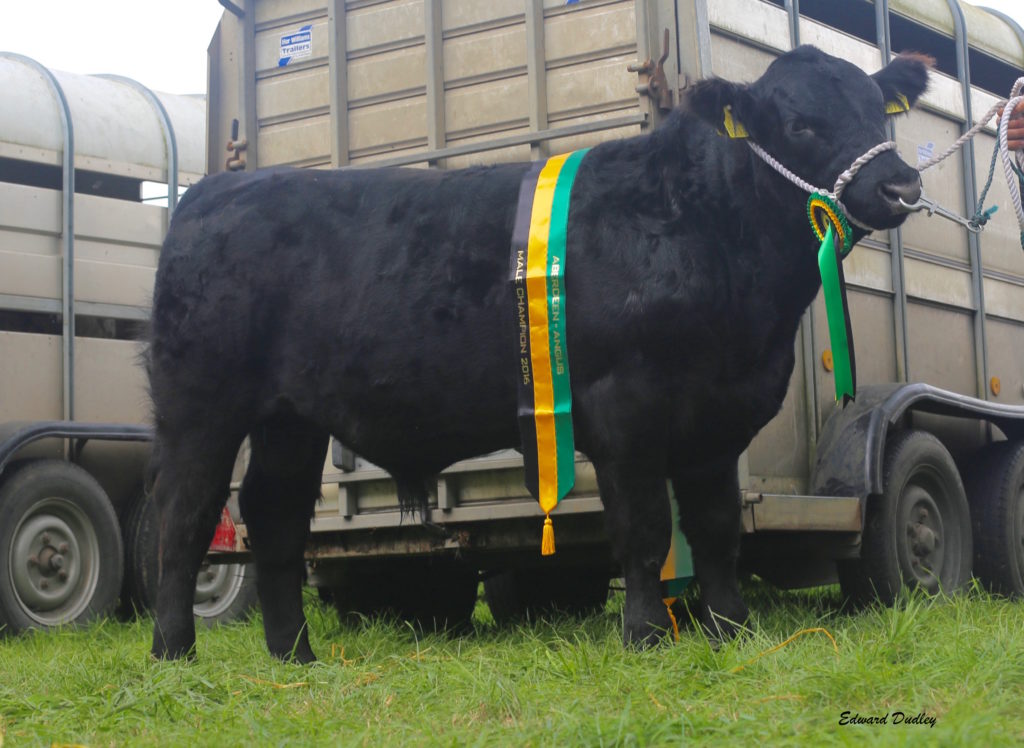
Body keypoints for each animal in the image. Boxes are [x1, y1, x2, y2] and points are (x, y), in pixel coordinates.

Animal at [147, 45, 930, 662]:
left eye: (880, 113)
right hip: (200, 402)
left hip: (291, 417)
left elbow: (714, 529)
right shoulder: (625, 406)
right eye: (800, 123)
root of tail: (210, 194)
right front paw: (645, 637)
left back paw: (295, 655)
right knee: (184, 517)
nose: (901, 183)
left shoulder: (719, 417)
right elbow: (645, 528)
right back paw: (174, 652)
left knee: (273, 517)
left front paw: (731, 632)